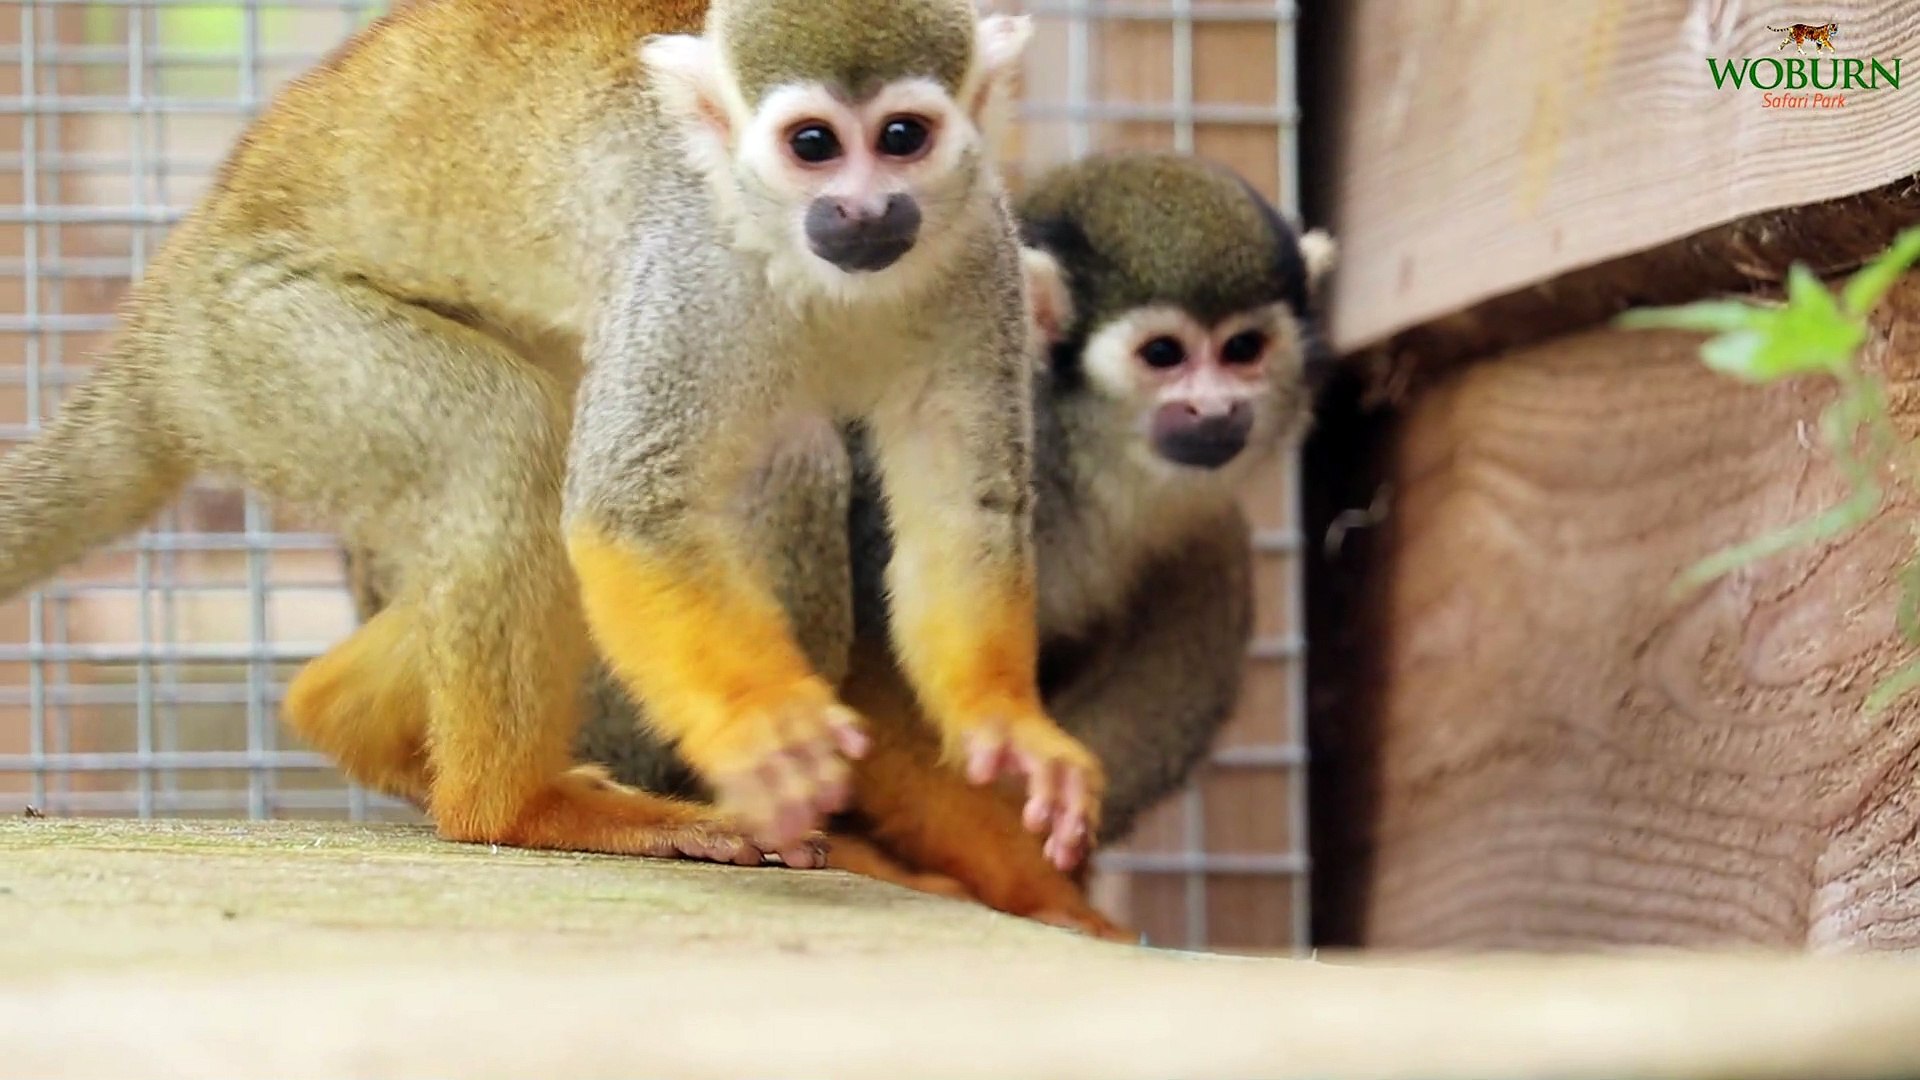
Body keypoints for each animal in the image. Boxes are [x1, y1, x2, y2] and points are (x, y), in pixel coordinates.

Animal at [0, 0, 1107, 869]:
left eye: (905, 135)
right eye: (813, 146)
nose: (864, 211)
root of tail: (158, 325)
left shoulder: (979, 260)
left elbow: (964, 504)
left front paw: (1011, 728)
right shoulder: (689, 265)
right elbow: (629, 510)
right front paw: (762, 727)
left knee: (748, 461)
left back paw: (346, 714)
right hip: (260, 349)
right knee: (509, 442)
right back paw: (512, 806)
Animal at [344, 151, 1332, 936]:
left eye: (1243, 350)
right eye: (1165, 355)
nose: (1217, 411)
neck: (1089, 454)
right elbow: (875, 682)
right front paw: (1036, 886)